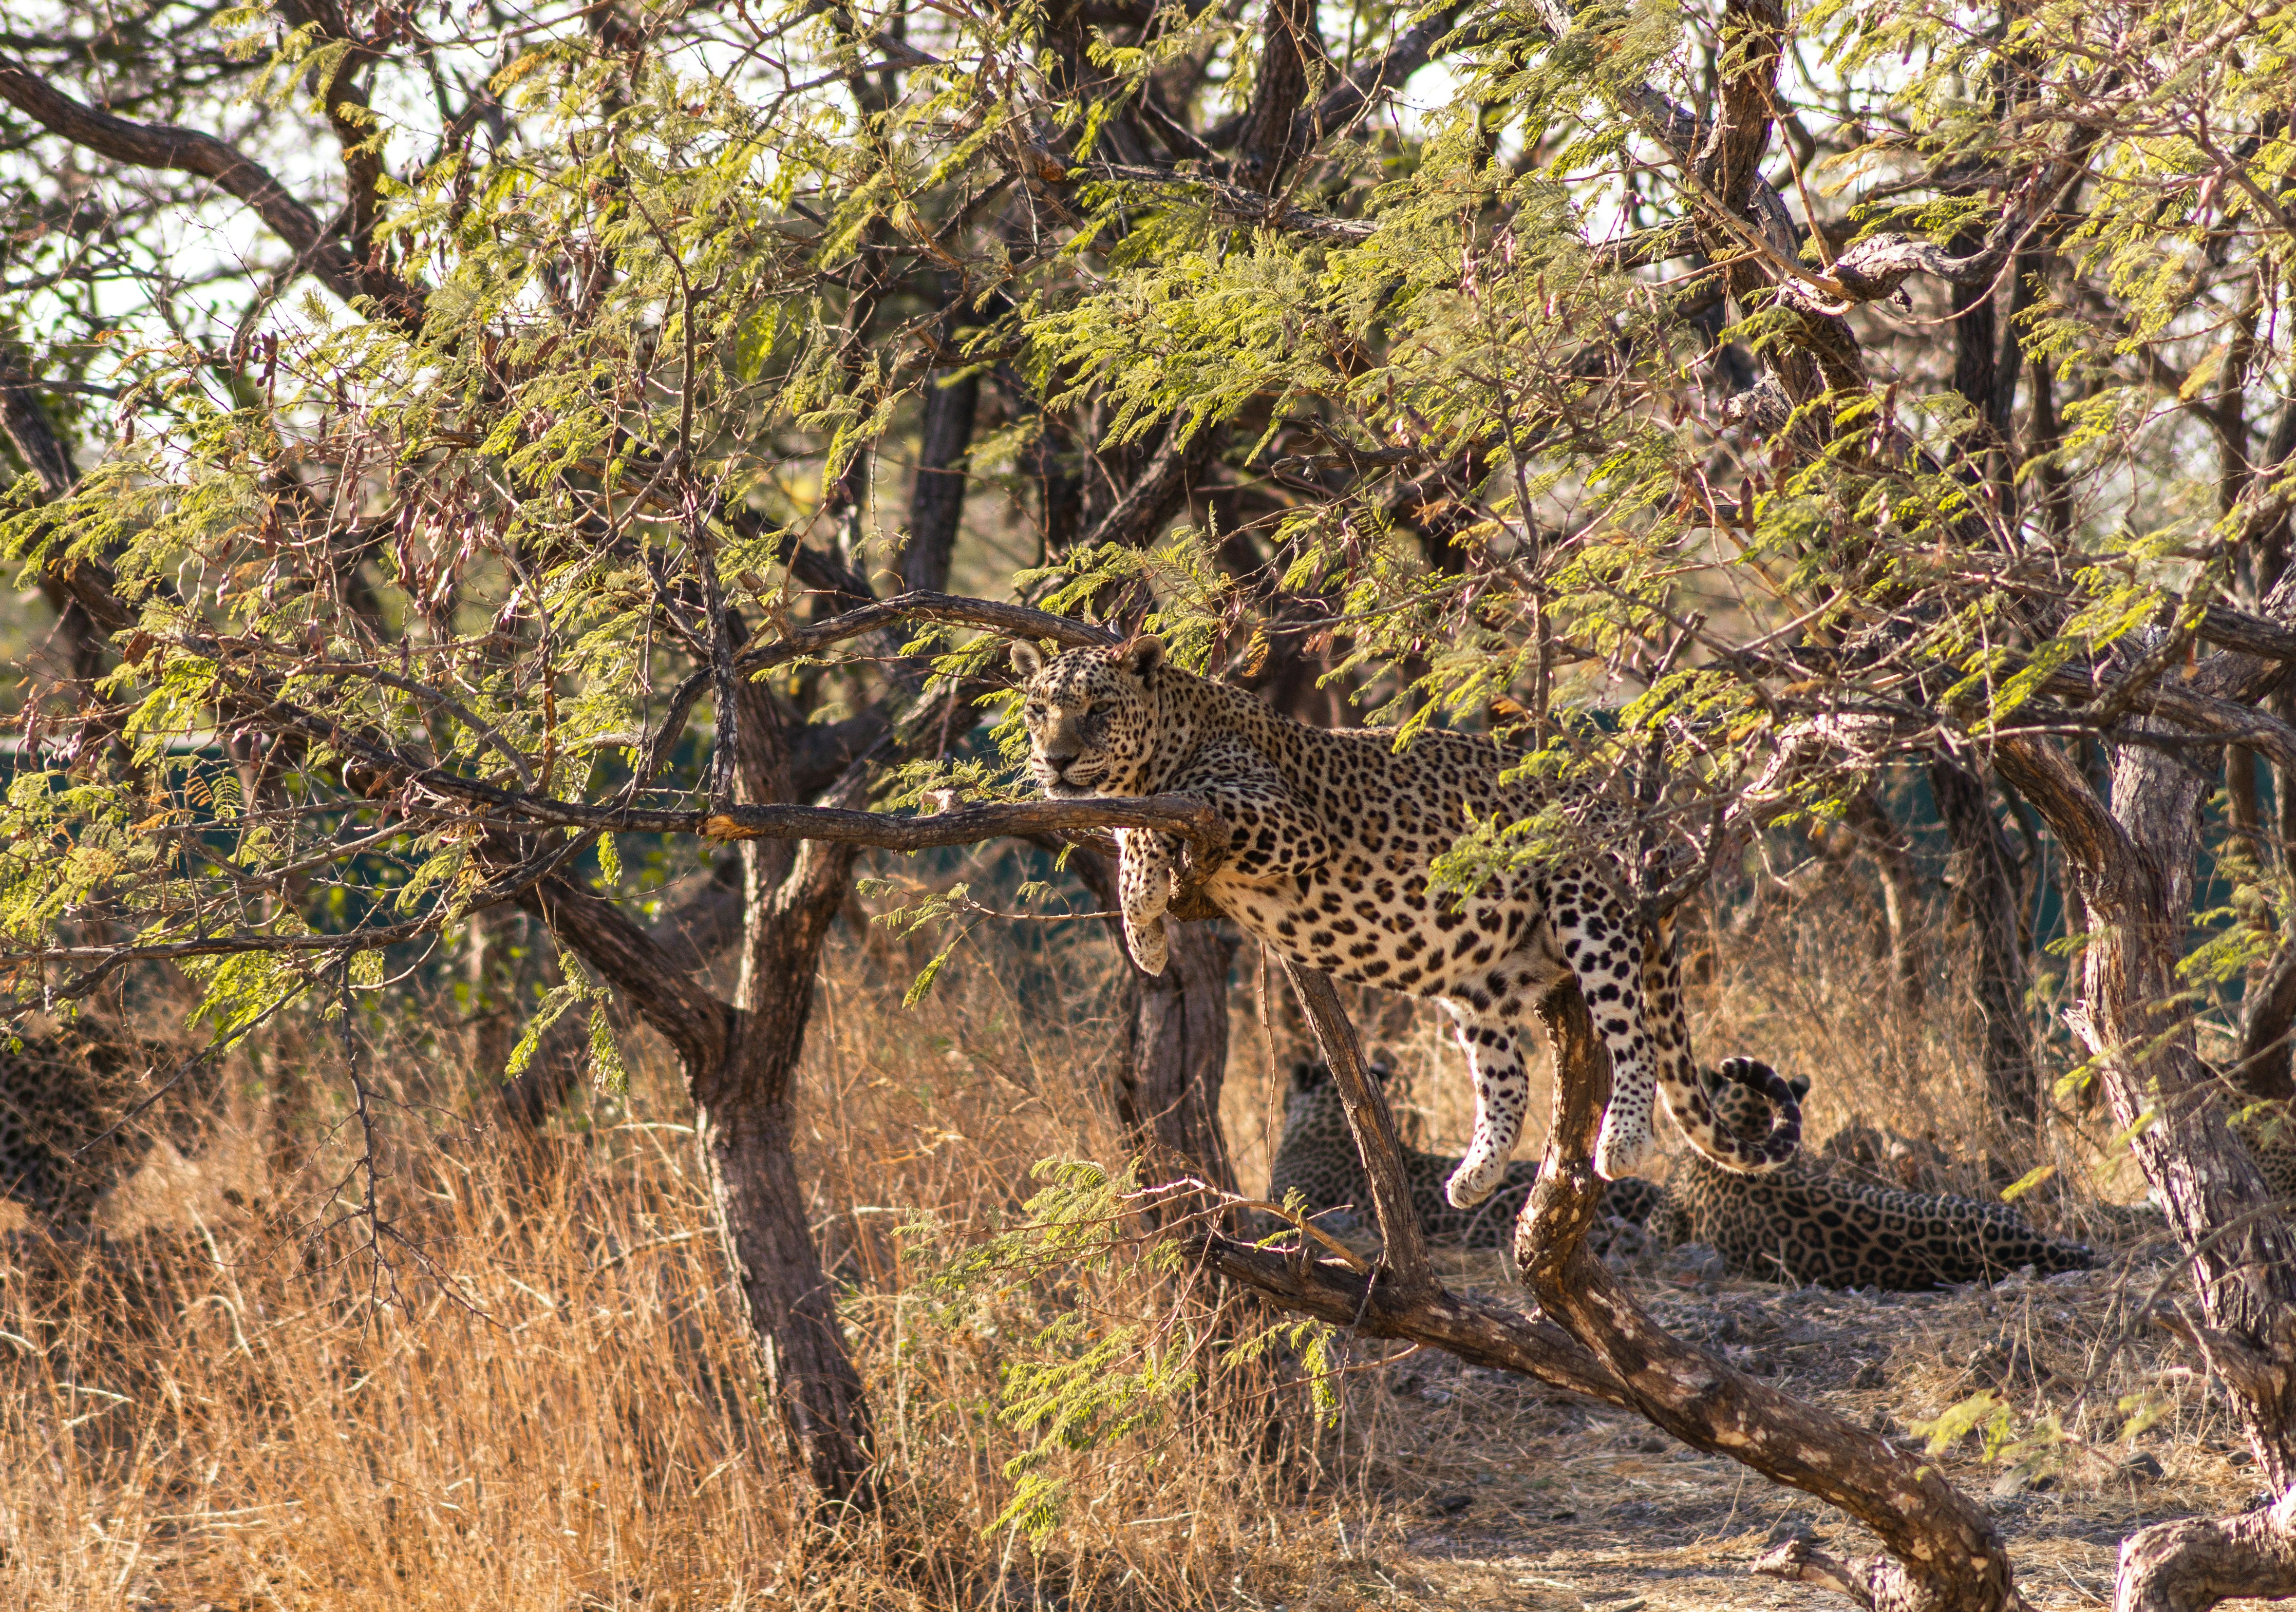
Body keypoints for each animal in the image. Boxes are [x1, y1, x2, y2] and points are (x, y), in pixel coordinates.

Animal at [1008, 635, 1801, 1203]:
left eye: (1097, 709)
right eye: (1037, 709)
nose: (1056, 758)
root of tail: (1619, 806)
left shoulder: (1280, 820)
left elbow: (1165, 814)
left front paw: (1141, 897)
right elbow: (1132, 834)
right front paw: (1145, 935)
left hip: (1590, 908)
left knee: (1630, 1029)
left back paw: (1623, 1140)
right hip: (1481, 982)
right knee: (1507, 1079)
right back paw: (1475, 1175)